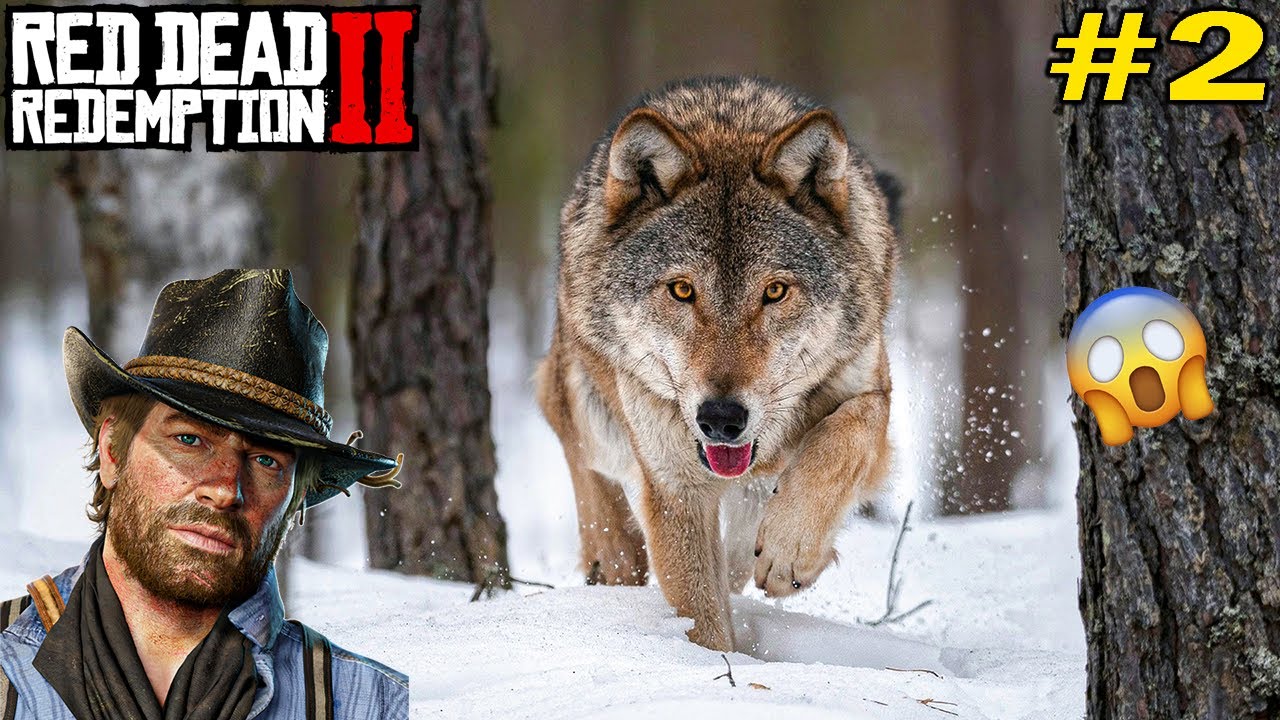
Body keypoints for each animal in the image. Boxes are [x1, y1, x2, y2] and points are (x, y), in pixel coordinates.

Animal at [535, 76, 900, 651]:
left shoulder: (870, 388)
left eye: (774, 291)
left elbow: (843, 438)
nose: (721, 420)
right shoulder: (676, 487)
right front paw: (715, 663)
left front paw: (791, 553)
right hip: (591, 425)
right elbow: (702, 617)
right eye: (683, 290)